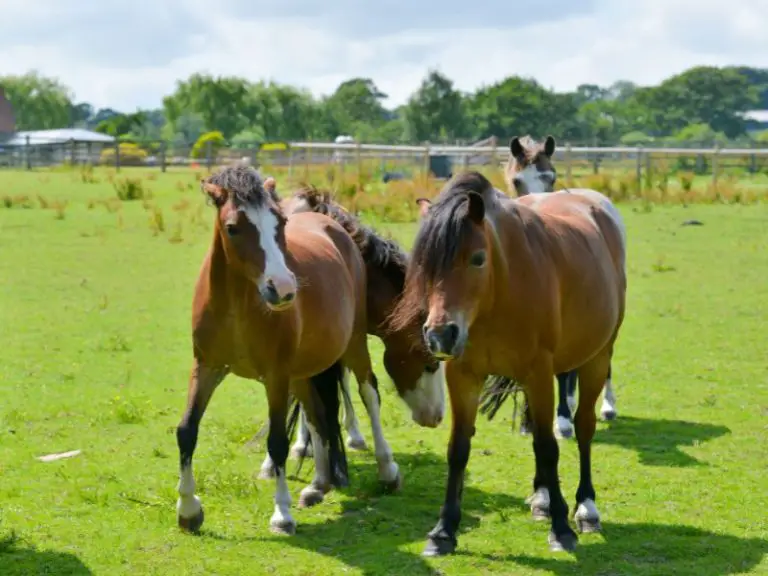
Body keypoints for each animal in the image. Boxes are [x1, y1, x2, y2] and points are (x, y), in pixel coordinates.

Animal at [175, 165, 389, 536]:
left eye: (280, 222)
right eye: (232, 227)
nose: (284, 289)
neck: (236, 305)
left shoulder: (275, 376)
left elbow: (276, 442)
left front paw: (281, 514)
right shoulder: (206, 366)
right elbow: (187, 430)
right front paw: (188, 509)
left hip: (353, 344)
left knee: (369, 392)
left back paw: (388, 471)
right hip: (303, 371)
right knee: (318, 414)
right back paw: (318, 485)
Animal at [390, 171, 627, 555]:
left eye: (477, 258)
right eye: (423, 263)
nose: (440, 334)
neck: (495, 296)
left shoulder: (540, 373)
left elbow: (547, 447)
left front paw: (562, 529)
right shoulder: (463, 376)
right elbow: (459, 448)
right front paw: (443, 530)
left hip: (597, 357)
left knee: (584, 427)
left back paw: (586, 508)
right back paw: (542, 498)